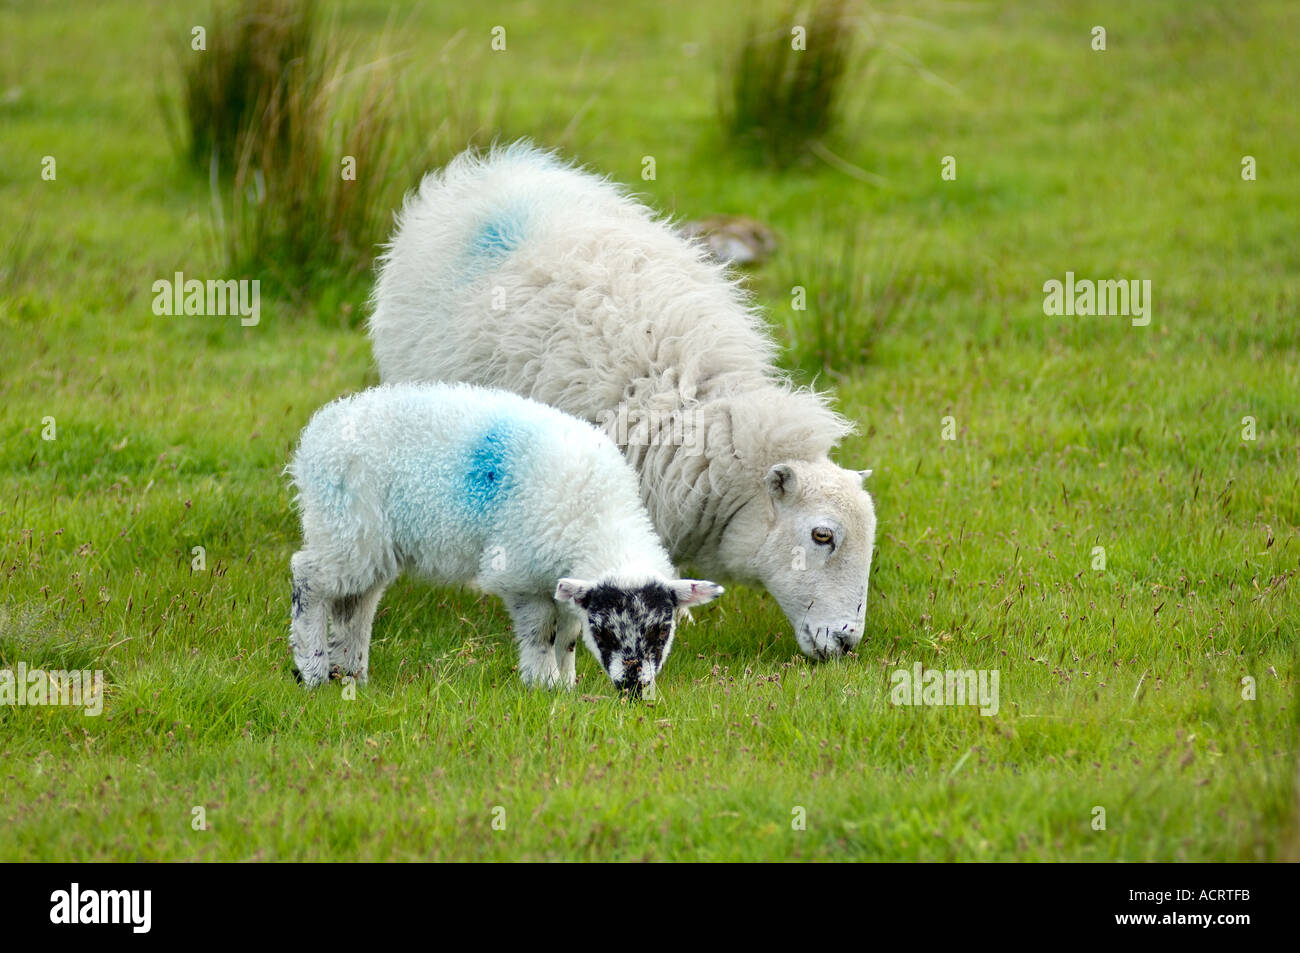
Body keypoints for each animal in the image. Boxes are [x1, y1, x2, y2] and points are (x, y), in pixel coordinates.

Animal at [286, 381, 723, 695]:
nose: (632, 687)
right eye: (604, 632)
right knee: (309, 577)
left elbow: (567, 634)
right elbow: (543, 631)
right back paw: (312, 669)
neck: (598, 517)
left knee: (356, 602)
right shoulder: (522, 574)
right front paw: (544, 684)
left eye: (662, 630)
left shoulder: (560, 577)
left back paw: (350, 673)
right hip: (346, 523)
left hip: (368, 539)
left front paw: (566, 684)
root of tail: (317, 433)